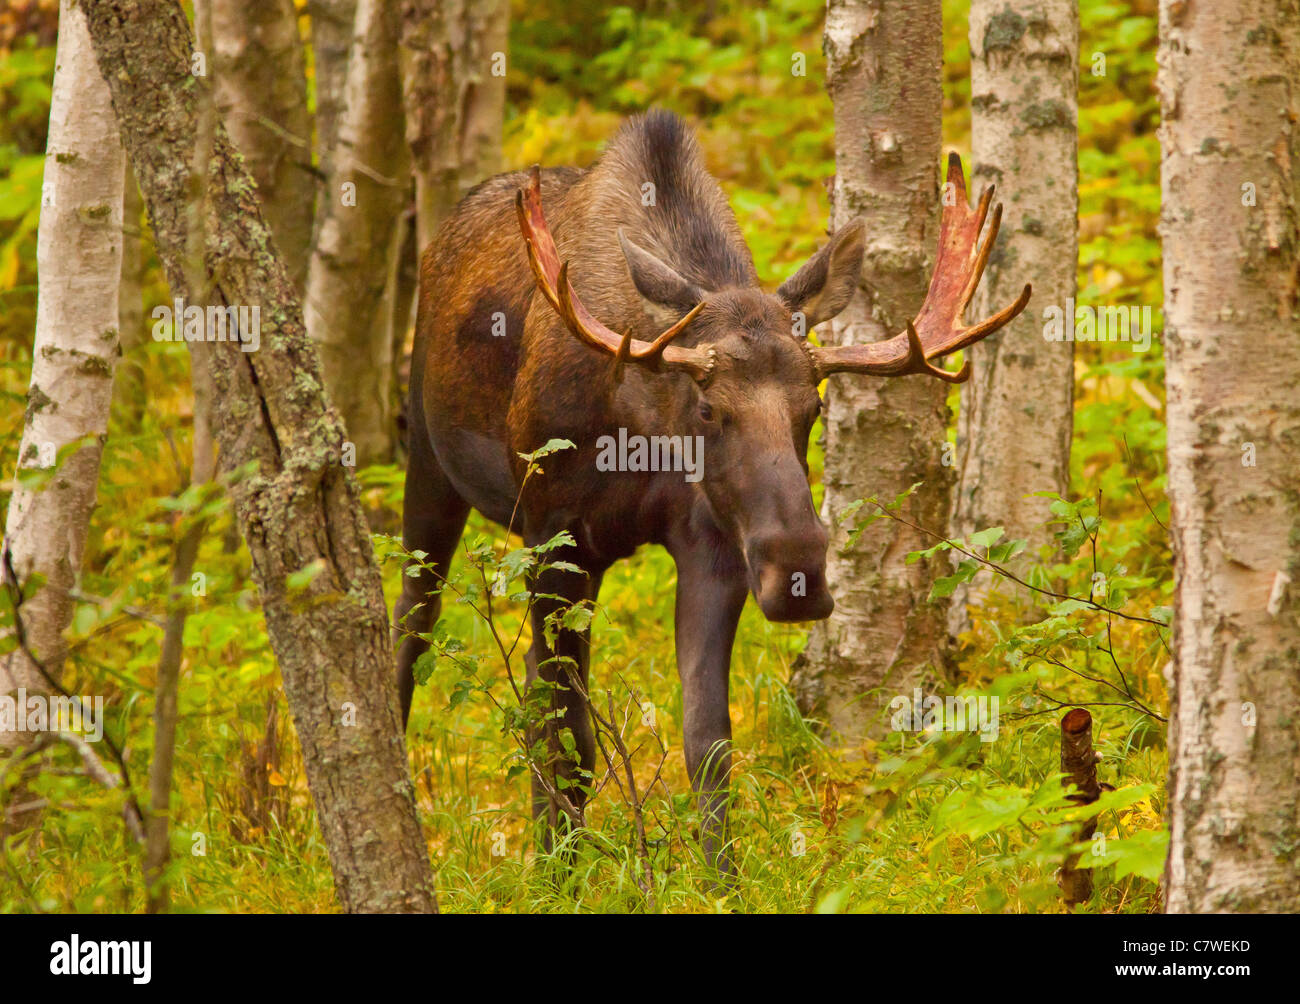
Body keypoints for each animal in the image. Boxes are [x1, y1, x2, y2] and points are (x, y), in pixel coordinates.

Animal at [395, 110, 1029, 874]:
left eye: (814, 408)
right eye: (707, 407)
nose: (800, 569)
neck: (636, 425)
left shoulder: (714, 547)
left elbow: (708, 739)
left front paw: (721, 875)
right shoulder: (553, 535)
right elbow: (564, 732)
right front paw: (557, 873)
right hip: (429, 463)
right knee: (413, 625)